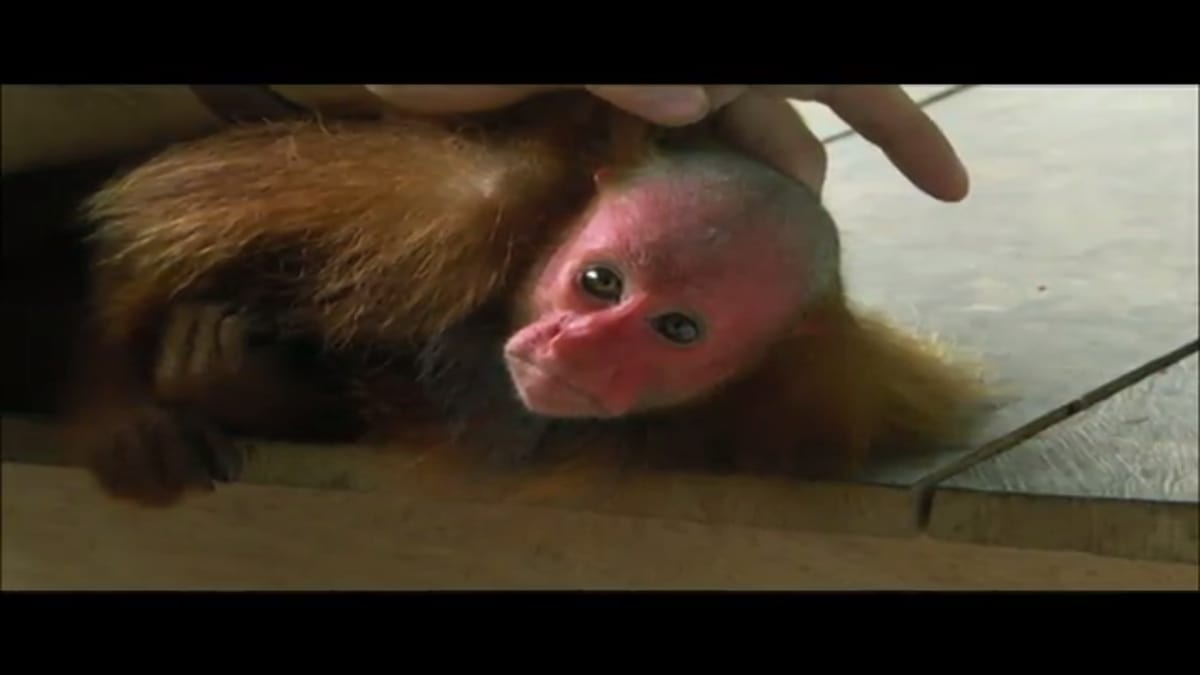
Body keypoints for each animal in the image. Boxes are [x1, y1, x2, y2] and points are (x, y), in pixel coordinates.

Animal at [58, 90, 990, 507]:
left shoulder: (805, 407)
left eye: (677, 327)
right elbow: (156, 220)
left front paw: (233, 384)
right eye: (599, 280)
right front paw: (116, 402)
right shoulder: (454, 204)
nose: (572, 349)